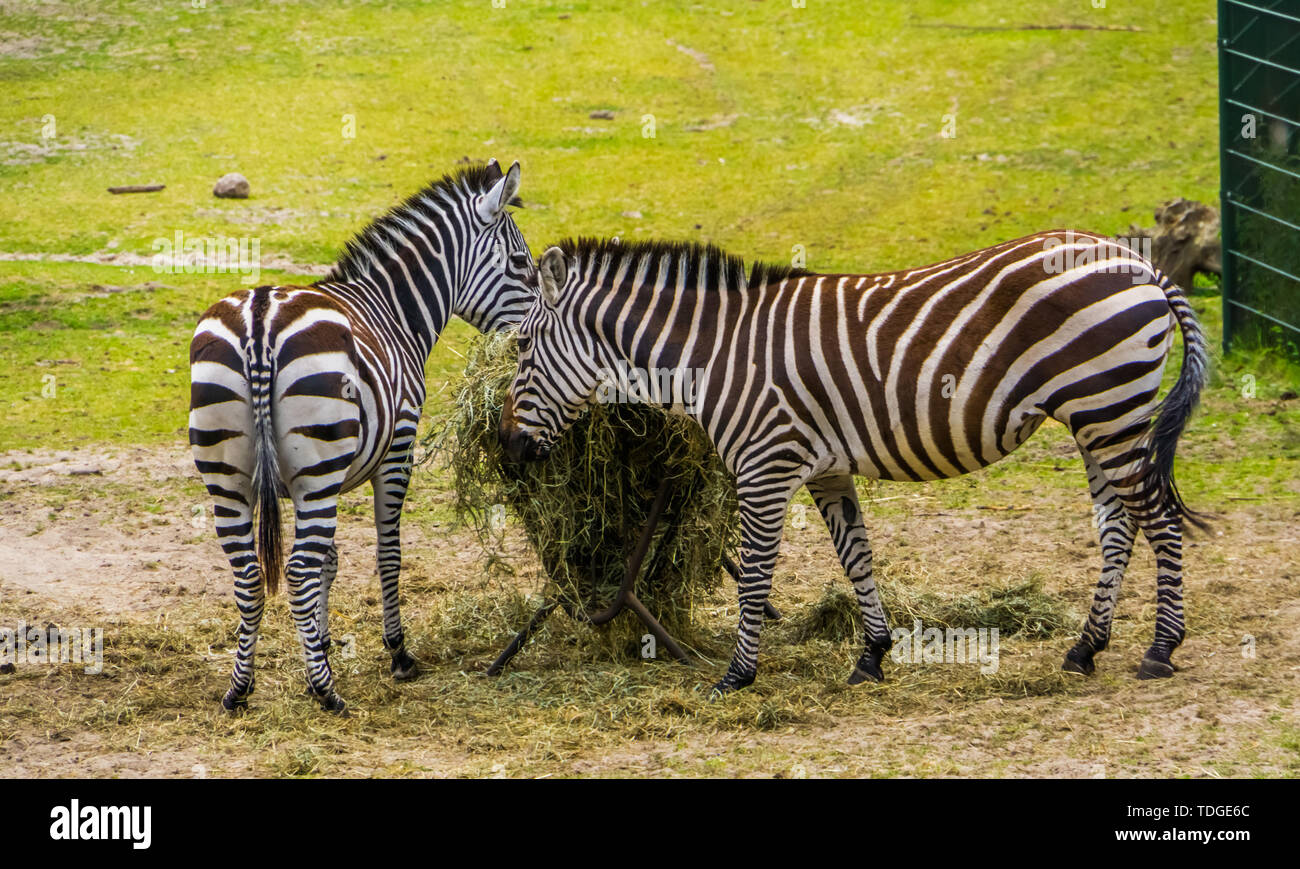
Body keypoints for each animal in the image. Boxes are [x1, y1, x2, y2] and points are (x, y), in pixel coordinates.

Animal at [190, 160, 537, 713]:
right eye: (521, 261)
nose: (534, 335)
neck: (394, 308)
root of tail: (260, 320)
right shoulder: (398, 450)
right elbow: (386, 554)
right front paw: (396, 654)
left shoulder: (312, 483)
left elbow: (329, 563)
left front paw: (322, 644)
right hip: (313, 470)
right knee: (296, 570)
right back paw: (326, 693)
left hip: (233, 476)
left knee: (250, 574)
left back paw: (240, 690)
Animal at [498, 232, 1208, 695]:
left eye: (525, 346)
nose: (507, 450)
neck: (716, 353)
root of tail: (1137, 260)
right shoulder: (825, 469)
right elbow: (855, 558)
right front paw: (872, 655)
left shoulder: (766, 465)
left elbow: (754, 578)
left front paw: (737, 675)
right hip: (1099, 418)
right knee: (1119, 527)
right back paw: (1085, 648)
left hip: (1108, 408)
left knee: (1161, 520)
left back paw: (1160, 649)